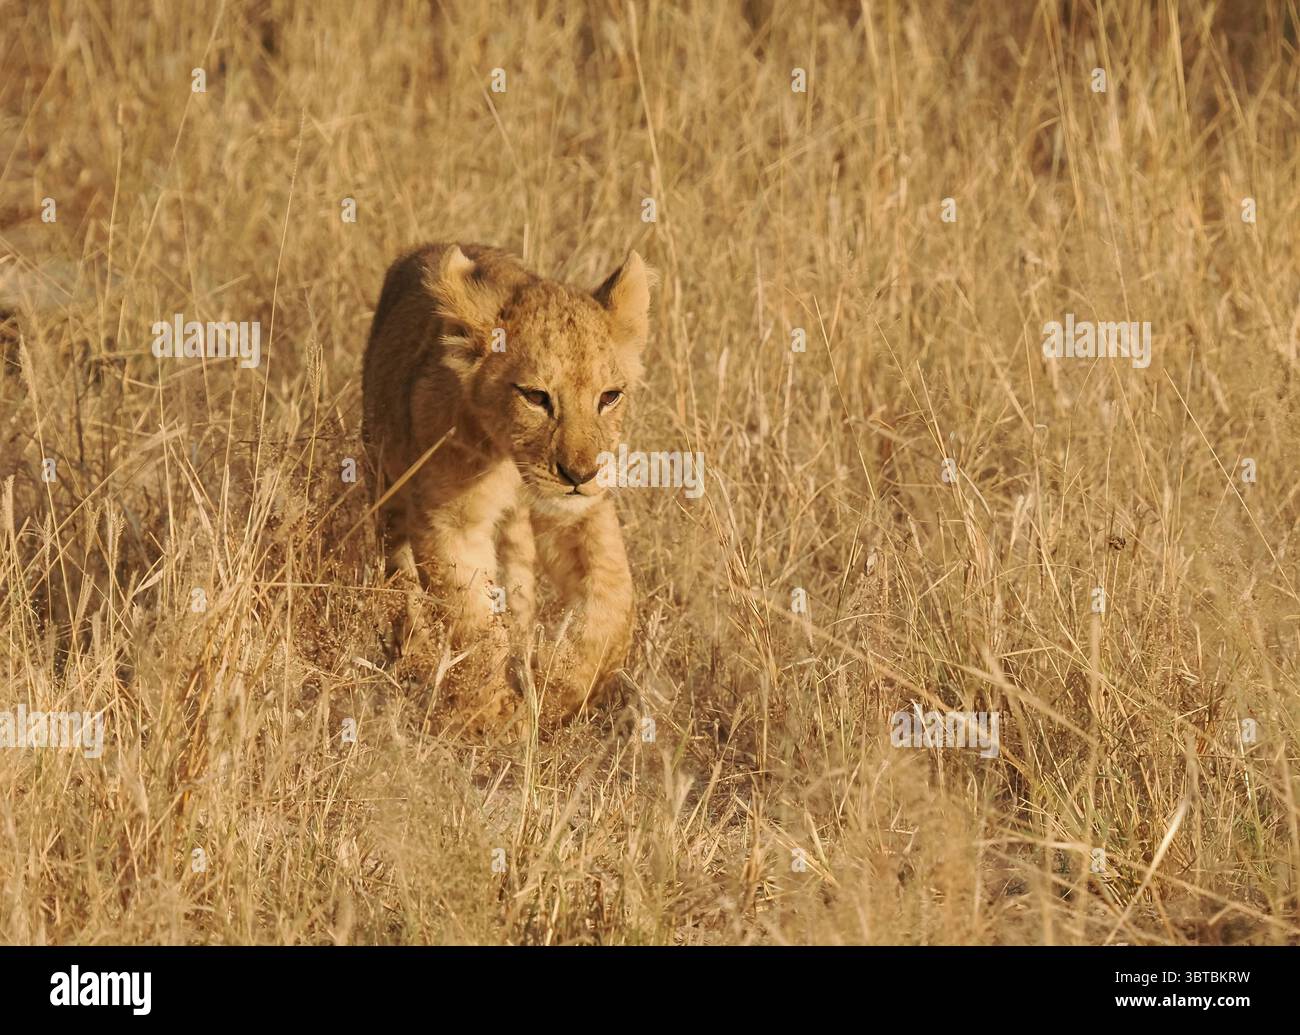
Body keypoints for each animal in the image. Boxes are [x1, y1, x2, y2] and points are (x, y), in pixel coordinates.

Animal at [361, 242, 654, 732]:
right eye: (535, 397)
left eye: (609, 397)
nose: (580, 475)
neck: (510, 463)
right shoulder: (449, 520)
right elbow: (474, 620)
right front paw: (495, 714)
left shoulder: (580, 512)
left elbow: (613, 596)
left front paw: (562, 686)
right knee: (400, 575)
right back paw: (413, 648)